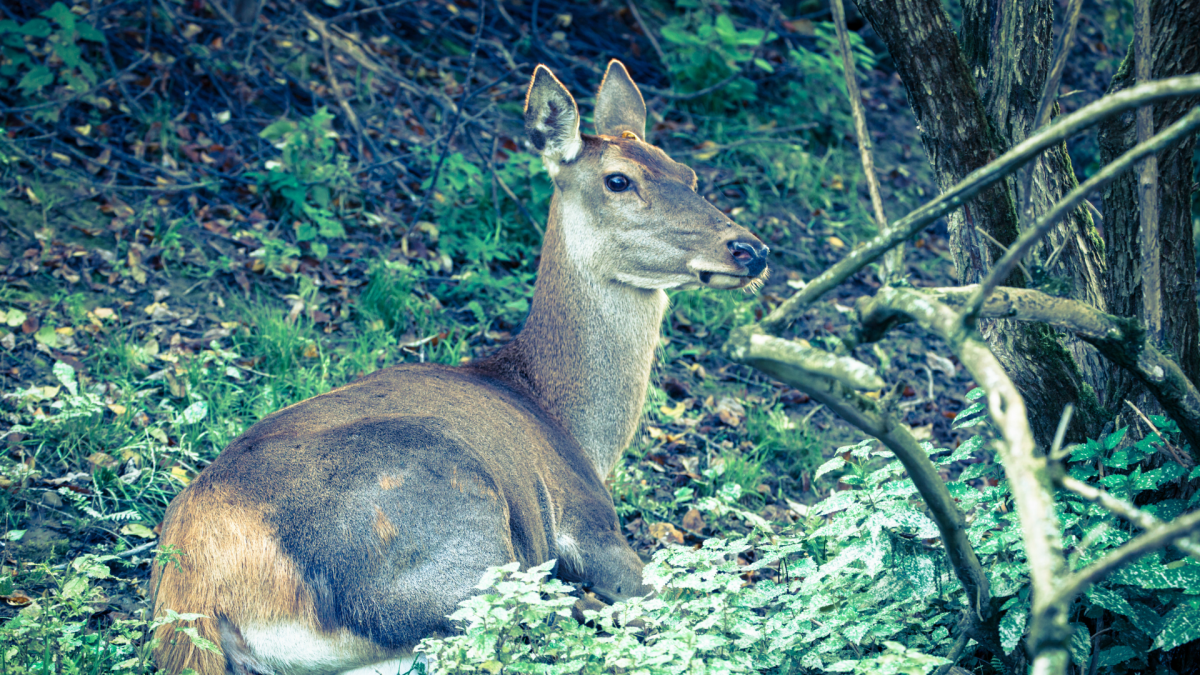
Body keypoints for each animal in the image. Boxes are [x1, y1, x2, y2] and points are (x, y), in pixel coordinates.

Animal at [152, 60, 770, 675]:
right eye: (618, 180)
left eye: (687, 172)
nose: (750, 249)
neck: (569, 421)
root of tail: (198, 601)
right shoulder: (589, 522)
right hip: (457, 546)